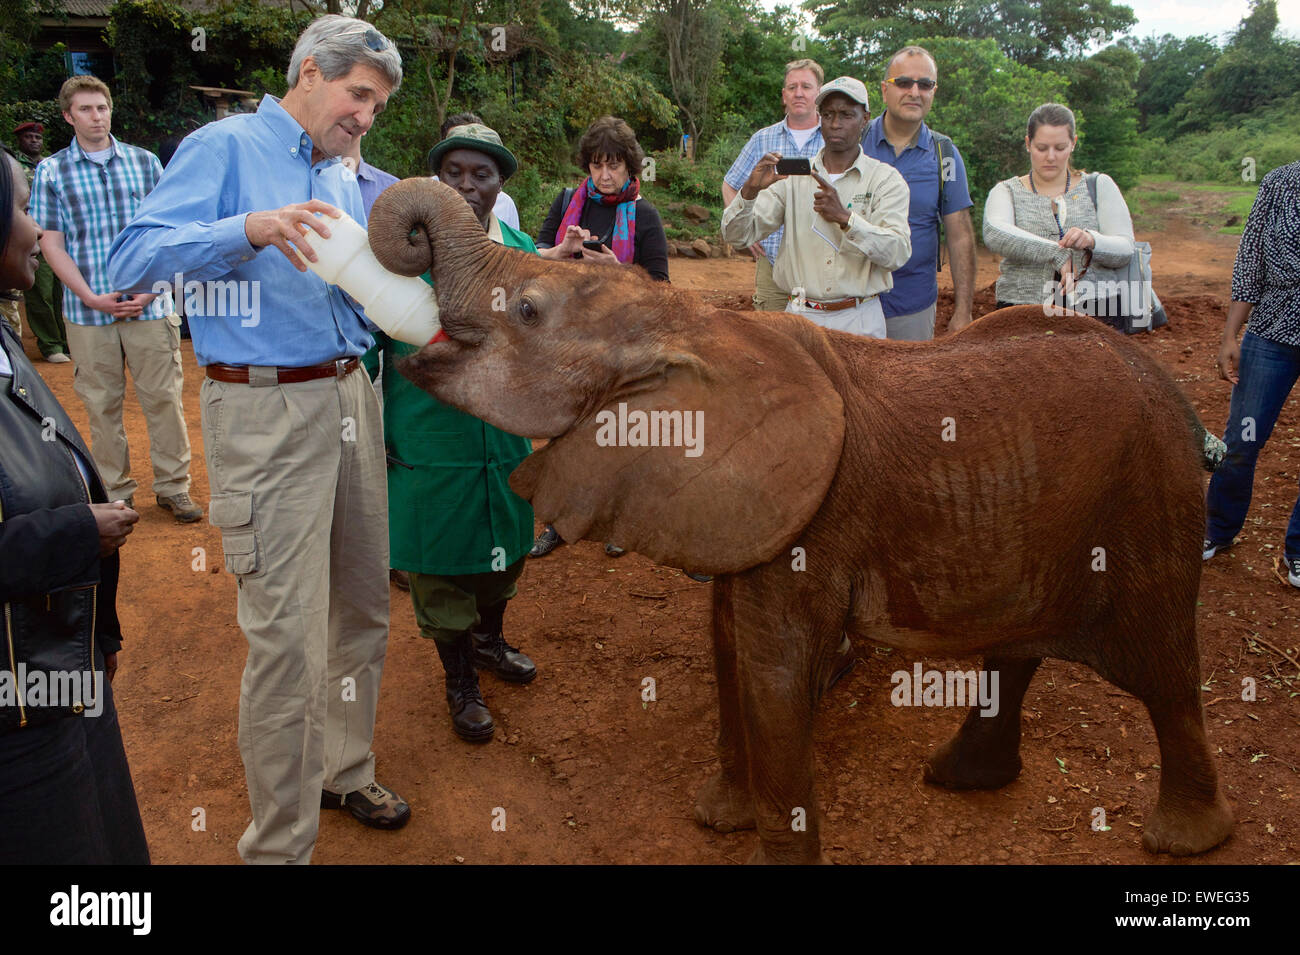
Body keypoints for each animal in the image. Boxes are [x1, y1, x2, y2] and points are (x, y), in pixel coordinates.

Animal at [366, 178, 1234, 864]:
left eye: (528, 310)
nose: (405, 247)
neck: (690, 325)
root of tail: (1180, 400)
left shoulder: (813, 522)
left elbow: (774, 675)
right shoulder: (743, 510)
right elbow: (727, 648)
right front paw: (719, 818)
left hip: (1150, 499)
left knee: (1163, 665)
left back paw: (1185, 839)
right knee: (1021, 647)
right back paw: (962, 775)